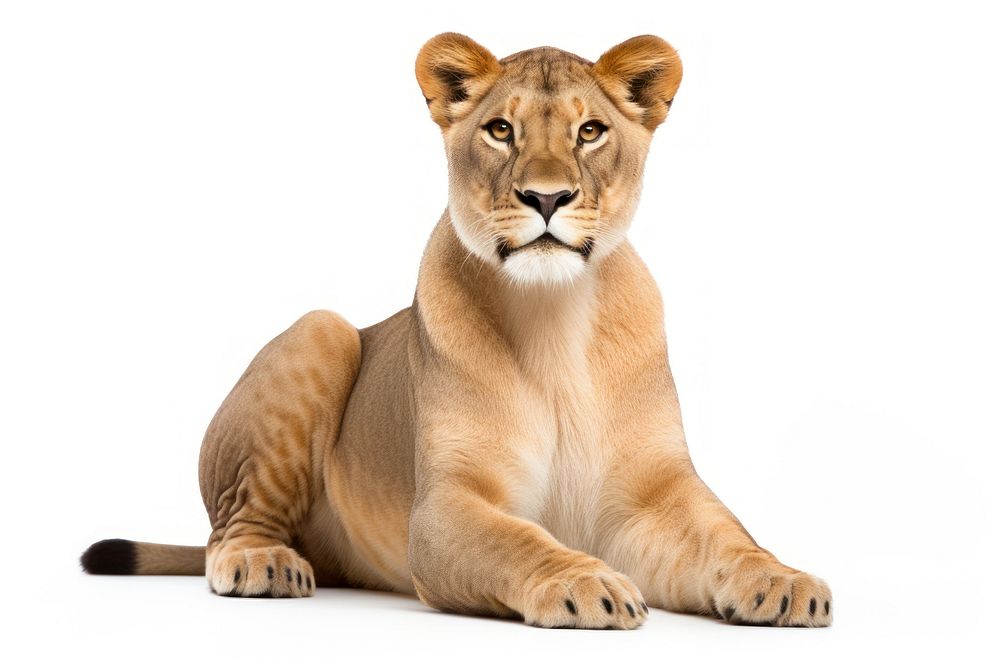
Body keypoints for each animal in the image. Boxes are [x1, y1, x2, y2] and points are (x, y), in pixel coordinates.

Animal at [82, 33, 832, 629]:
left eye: (590, 132)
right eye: (500, 130)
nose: (547, 197)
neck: (555, 315)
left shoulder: (650, 498)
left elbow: (727, 537)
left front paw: (783, 581)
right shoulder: (444, 506)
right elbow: (519, 542)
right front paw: (584, 581)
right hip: (320, 332)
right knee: (228, 527)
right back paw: (264, 561)